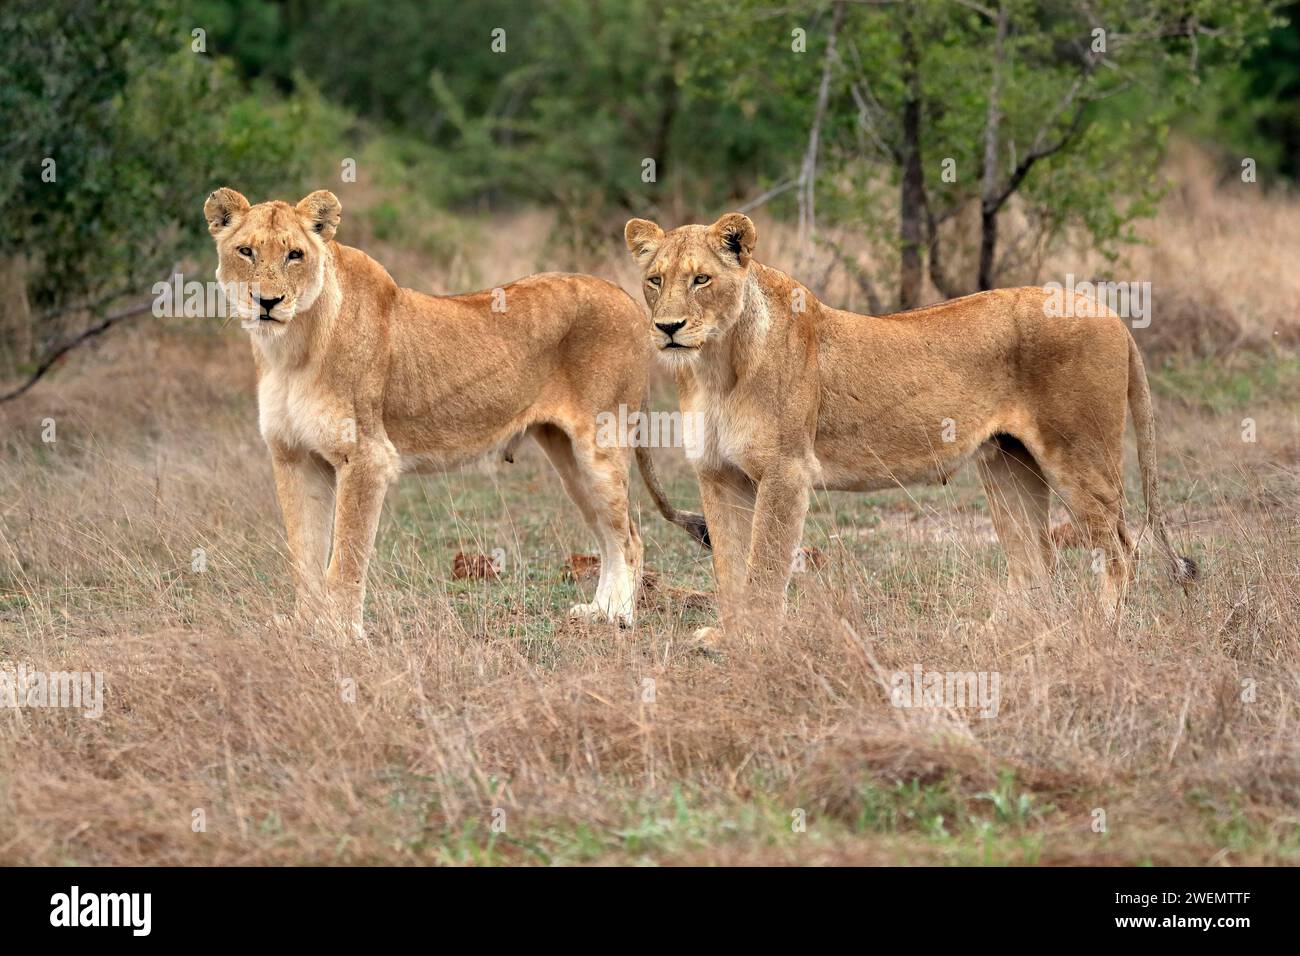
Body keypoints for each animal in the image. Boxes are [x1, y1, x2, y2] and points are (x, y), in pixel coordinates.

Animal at [203, 186, 705, 639]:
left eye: (295, 255)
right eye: (245, 251)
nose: (267, 302)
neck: (289, 348)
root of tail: (626, 295)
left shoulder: (366, 458)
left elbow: (344, 557)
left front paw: (341, 634)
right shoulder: (294, 457)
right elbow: (304, 555)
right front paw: (305, 628)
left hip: (600, 444)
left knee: (629, 538)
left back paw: (620, 617)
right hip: (567, 454)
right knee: (607, 532)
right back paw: (598, 613)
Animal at [624, 212, 1196, 642]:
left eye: (701, 279)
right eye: (656, 280)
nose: (668, 328)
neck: (715, 365)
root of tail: (1113, 315)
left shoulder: (786, 471)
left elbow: (763, 566)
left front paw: (753, 641)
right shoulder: (718, 475)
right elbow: (728, 567)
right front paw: (728, 636)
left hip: (1079, 456)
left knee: (1120, 548)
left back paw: (1098, 629)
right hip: (1009, 462)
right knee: (1035, 558)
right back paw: (994, 636)